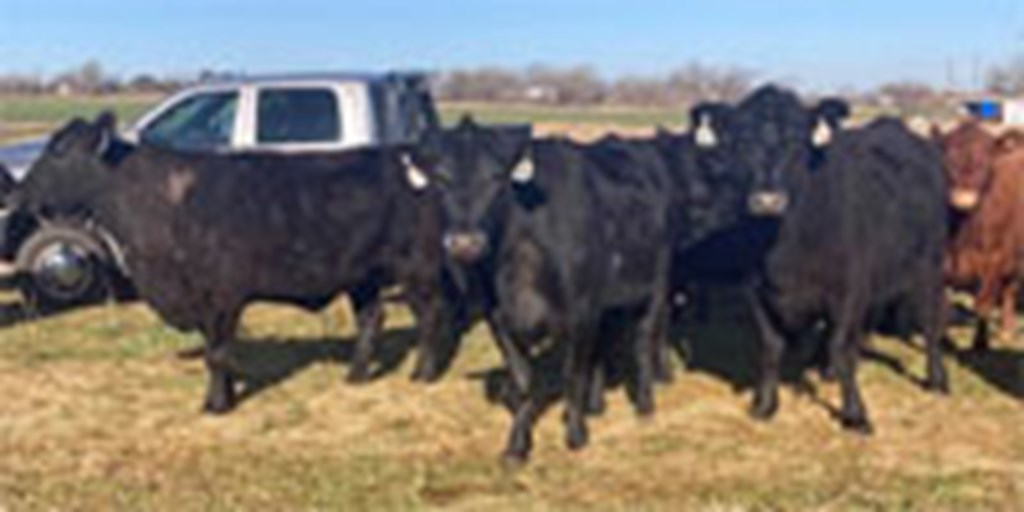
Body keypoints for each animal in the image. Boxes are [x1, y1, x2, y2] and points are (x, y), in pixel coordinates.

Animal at [12, 113, 454, 413]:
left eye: (59, 152)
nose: (15, 193)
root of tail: (411, 154)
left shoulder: (222, 293)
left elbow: (217, 353)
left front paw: (216, 405)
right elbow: (214, 349)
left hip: (418, 267)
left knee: (432, 315)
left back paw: (423, 375)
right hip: (363, 276)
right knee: (372, 319)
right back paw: (356, 376)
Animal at [406, 117, 675, 463]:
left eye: (496, 177)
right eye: (441, 178)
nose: (465, 243)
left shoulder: (579, 312)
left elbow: (573, 374)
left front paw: (575, 434)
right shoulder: (500, 319)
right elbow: (523, 382)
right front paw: (517, 445)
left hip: (655, 287)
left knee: (642, 342)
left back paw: (644, 406)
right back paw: (596, 405)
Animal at [693, 86, 950, 433]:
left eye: (797, 141)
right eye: (742, 142)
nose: (767, 200)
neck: (782, 250)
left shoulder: (849, 291)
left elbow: (842, 348)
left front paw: (854, 414)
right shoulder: (756, 292)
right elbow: (771, 348)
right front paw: (765, 405)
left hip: (930, 265)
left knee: (932, 321)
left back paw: (936, 378)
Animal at [938, 121, 1024, 351]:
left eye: (986, 163)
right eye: (947, 160)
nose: (963, 197)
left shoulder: (995, 260)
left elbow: (983, 304)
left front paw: (980, 343)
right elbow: (943, 307)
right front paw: (941, 341)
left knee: (1010, 290)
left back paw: (1006, 330)